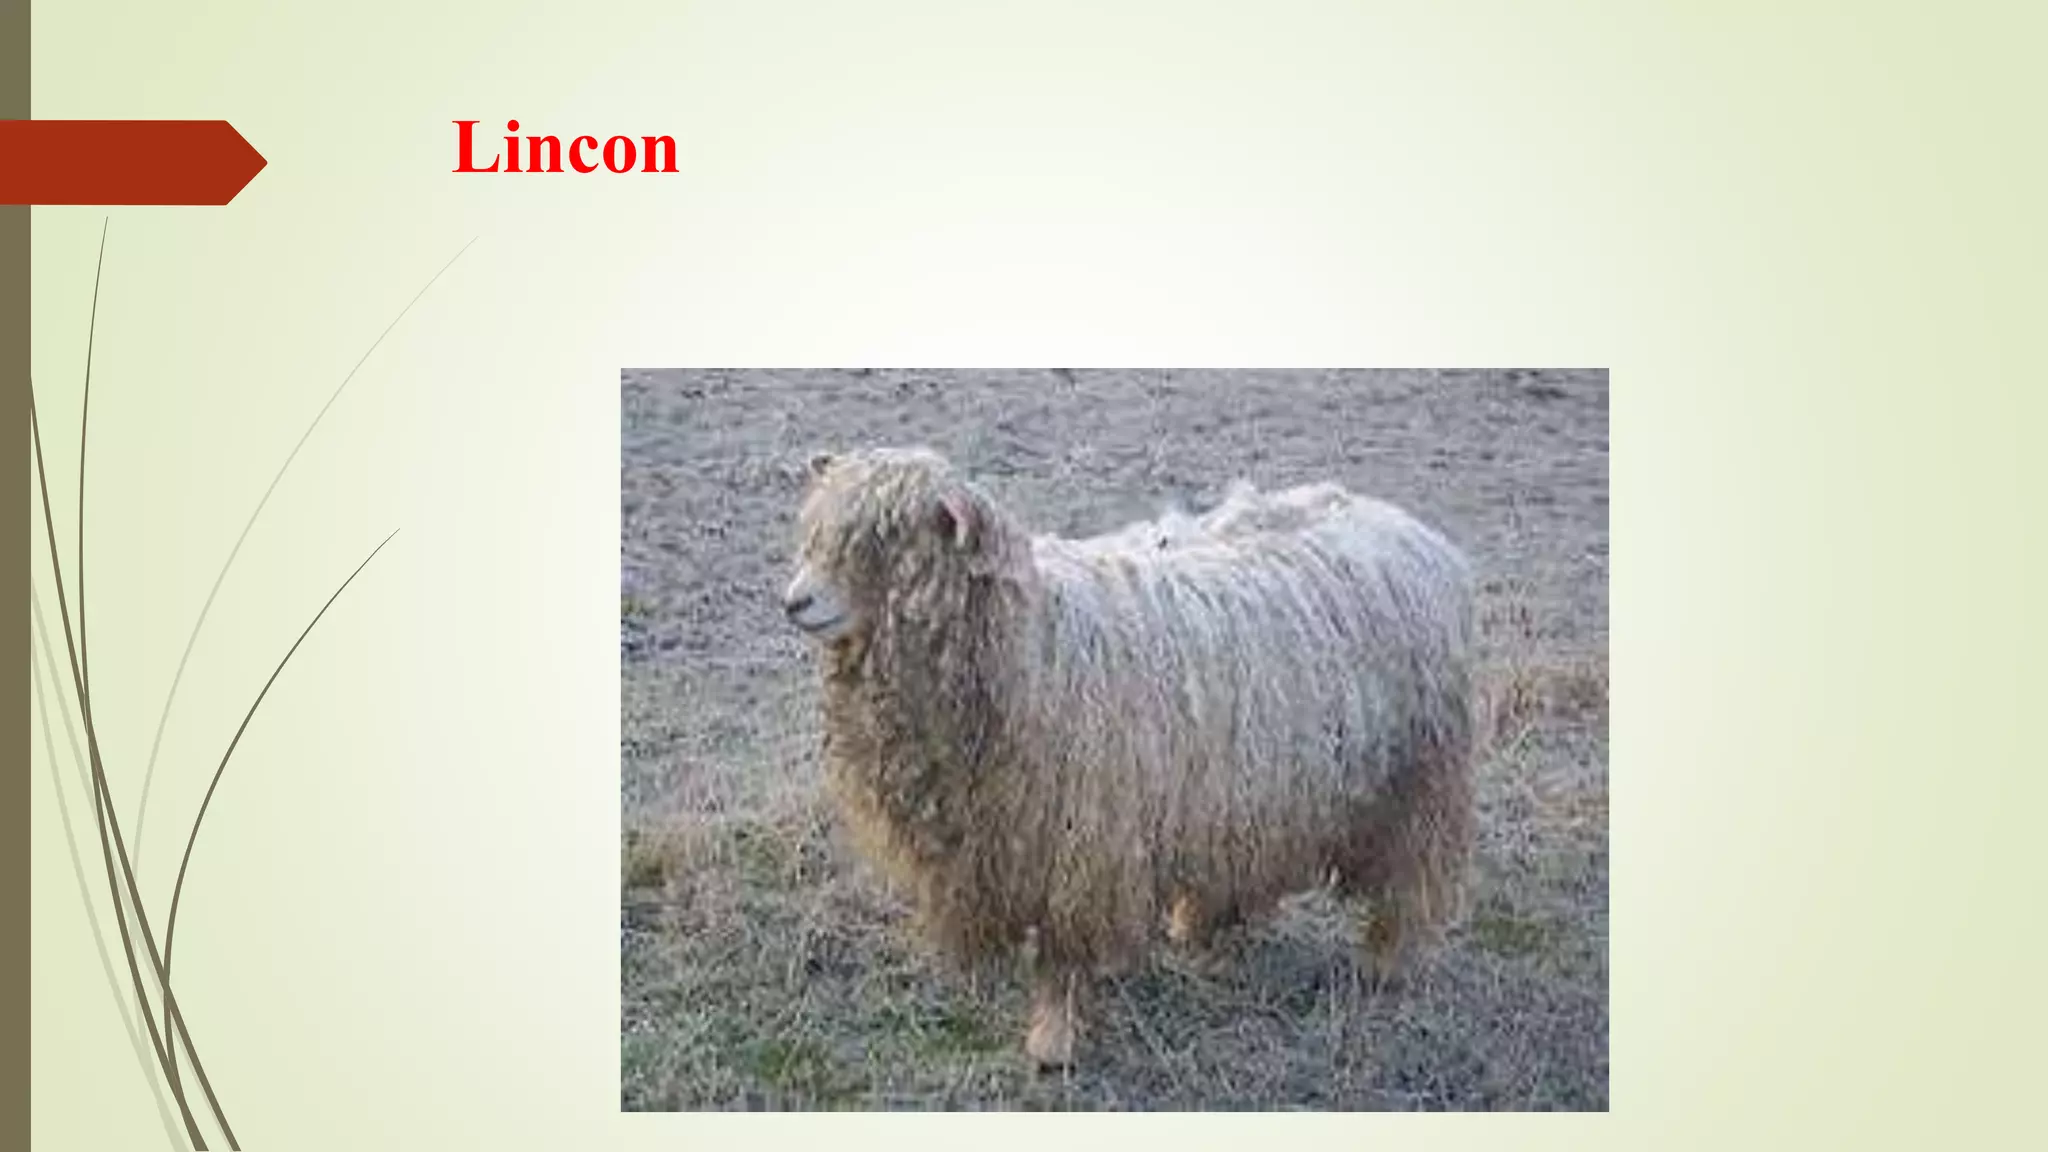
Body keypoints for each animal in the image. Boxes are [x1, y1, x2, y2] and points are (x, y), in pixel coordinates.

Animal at [782, 448, 1476, 1068]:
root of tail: (1410, 530)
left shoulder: (1082, 842)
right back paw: (1197, 923)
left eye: (885, 539)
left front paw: (1054, 1040)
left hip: (1417, 782)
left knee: (1409, 880)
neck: (1032, 644)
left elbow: (1063, 951)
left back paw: (1384, 964)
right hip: (1250, 786)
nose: (795, 602)